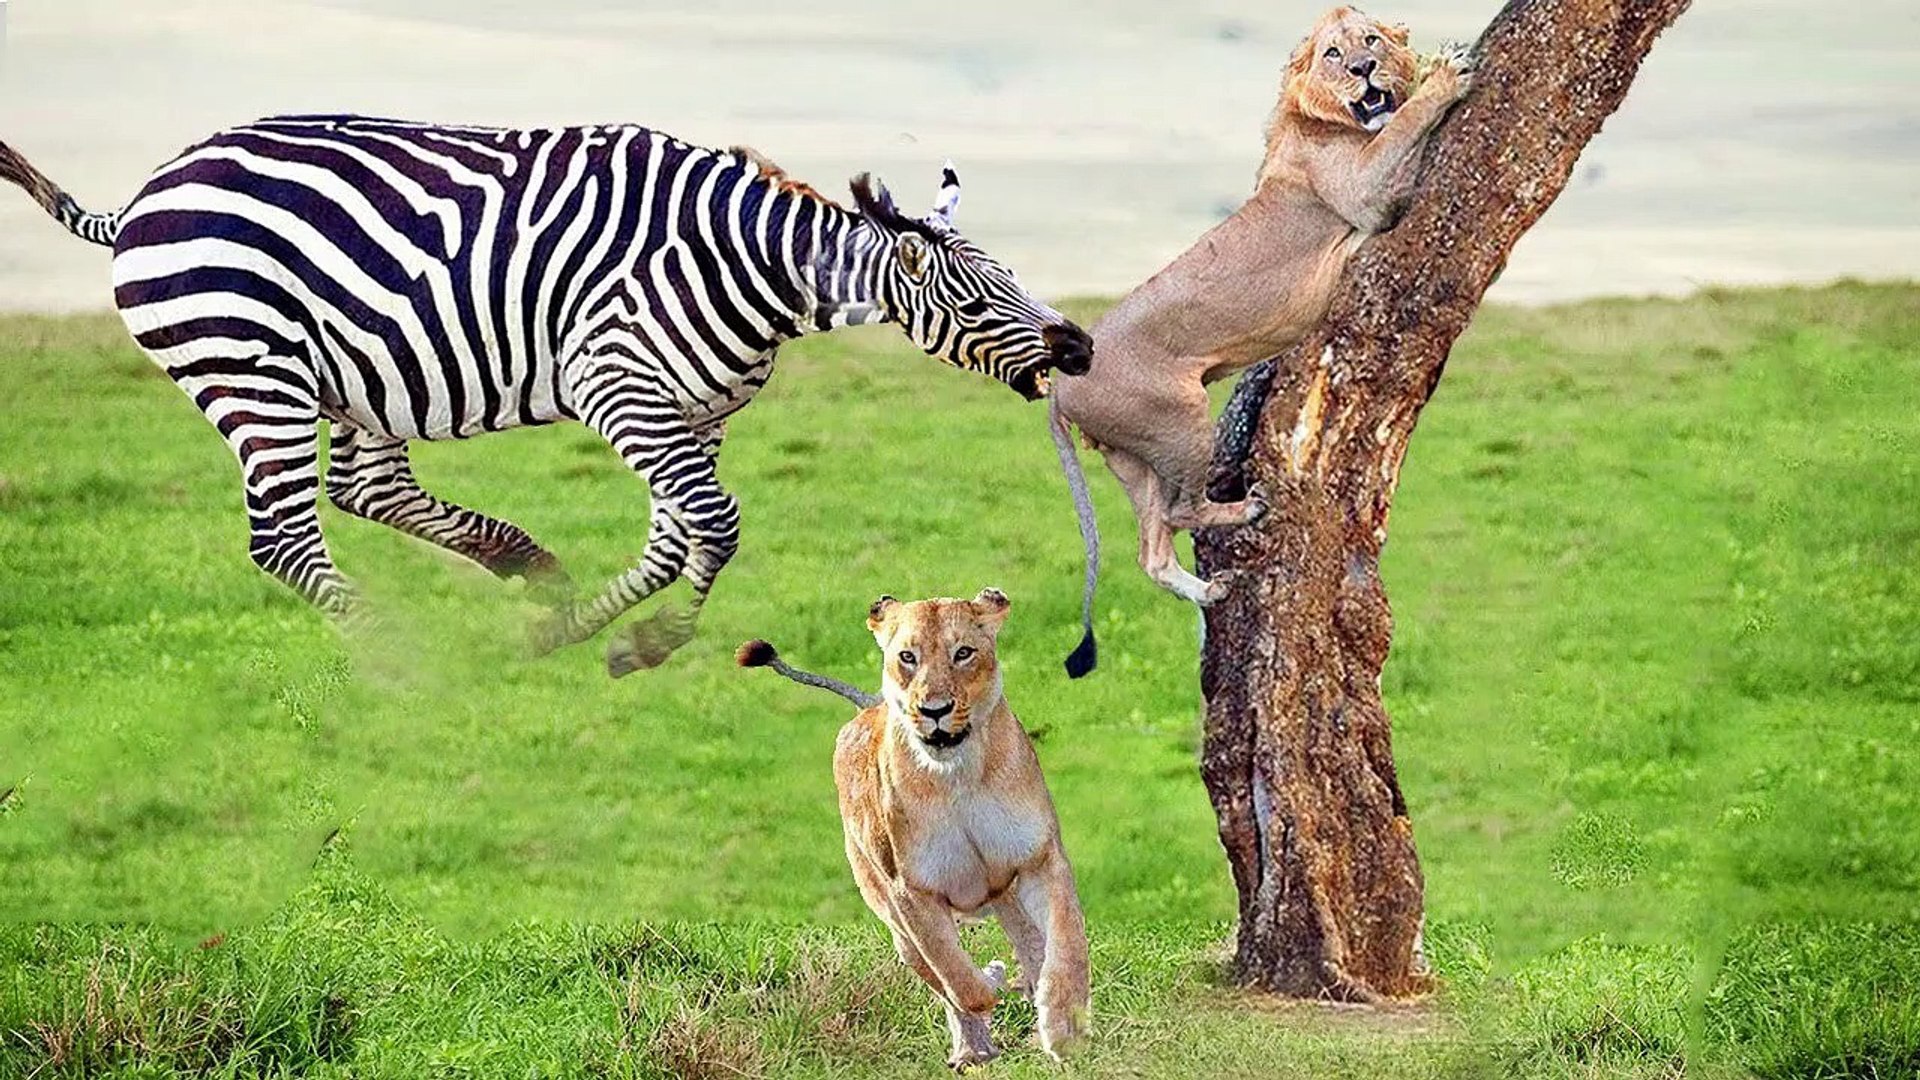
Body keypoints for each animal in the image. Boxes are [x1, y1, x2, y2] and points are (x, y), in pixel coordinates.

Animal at [0, 116, 1093, 676]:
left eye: (1010, 277)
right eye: (972, 296)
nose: (1078, 344)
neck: (747, 269)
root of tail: (140, 199)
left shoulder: (691, 410)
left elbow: (676, 536)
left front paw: (571, 631)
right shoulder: (618, 386)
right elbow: (716, 526)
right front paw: (650, 644)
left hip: (357, 375)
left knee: (364, 490)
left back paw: (524, 564)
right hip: (250, 364)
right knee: (286, 538)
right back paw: (399, 657)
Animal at [736, 588, 1090, 1068]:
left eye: (964, 653)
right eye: (907, 657)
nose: (934, 710)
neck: (957, 777)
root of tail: (869, 707)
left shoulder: (1039, 858)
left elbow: (1067, 944)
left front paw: (1065, 1026)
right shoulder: (912, 893)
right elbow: (961, 982)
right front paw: (993, 979)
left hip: (1004, 892)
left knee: (1030, 940)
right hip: (896, 924)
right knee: (944, 984)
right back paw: (974, 1049)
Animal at [1049, 7, 1473, 676]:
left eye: (1370, 40)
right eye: (1333, 54)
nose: (1365, 68)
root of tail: (1059, 387)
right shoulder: (1366, 195)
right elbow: (1401, 130)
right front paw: (1445, 73)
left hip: (1132, 455)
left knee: (1153, 549)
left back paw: (1209, 590)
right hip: (1180, 417)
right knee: (1181, 512)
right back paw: (1245, 510)